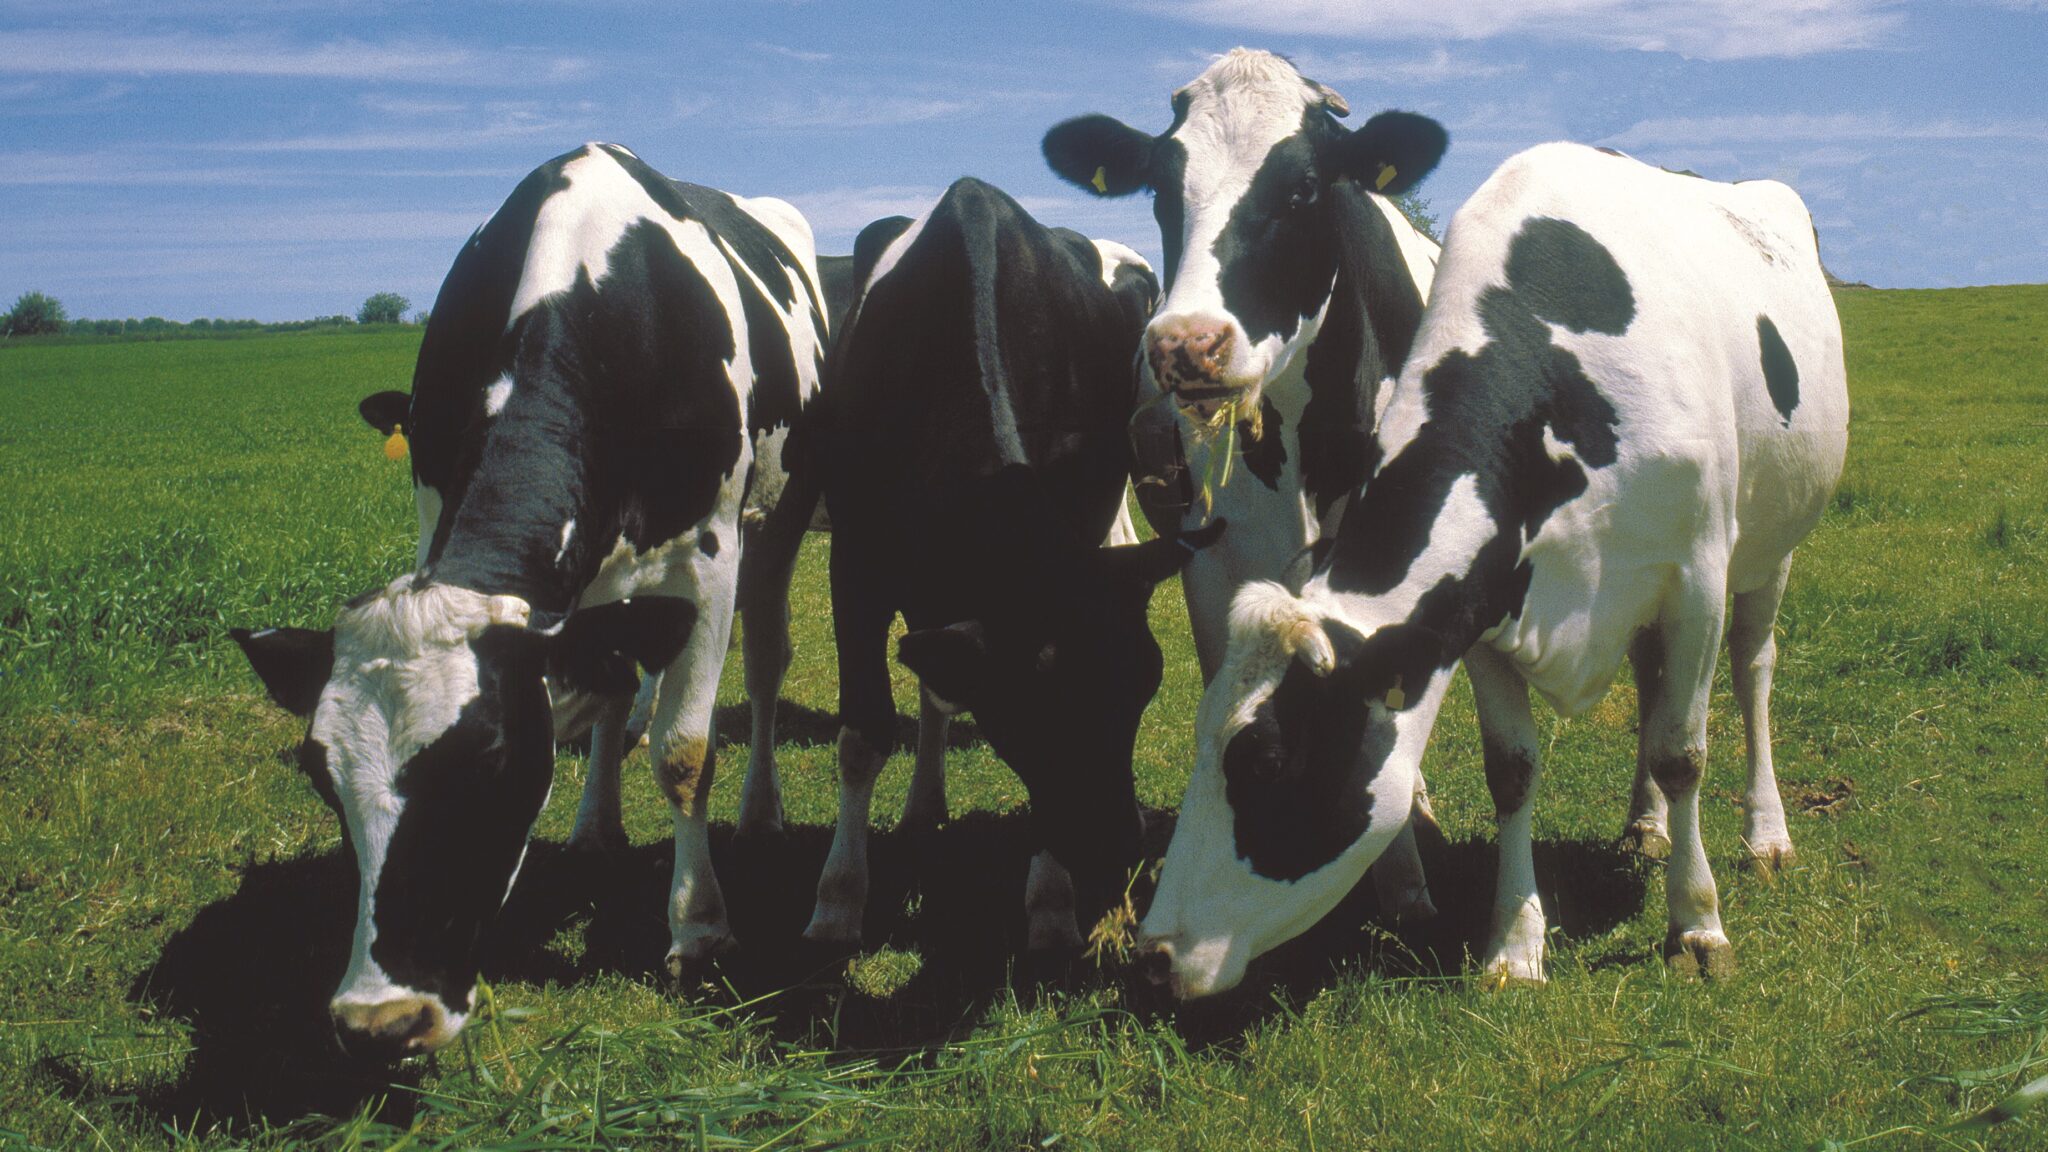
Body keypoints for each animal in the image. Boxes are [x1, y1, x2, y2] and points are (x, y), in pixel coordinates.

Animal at [230, 141, 829, 1058]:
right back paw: (595, 828)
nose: (381, 1020)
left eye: (492, 763)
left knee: (763, 659)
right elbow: (609, 687)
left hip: (782, 513)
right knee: (617, 679)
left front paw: (699, 930)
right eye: (321, 777)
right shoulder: (441, 516)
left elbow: (683, 752)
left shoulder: (710, 553)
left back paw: (761, 809)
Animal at [803, 177, 1220, 951]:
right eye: (1034, 710)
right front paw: (838, 901)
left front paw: (1051, 904)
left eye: (1144, 690)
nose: (1118, 849)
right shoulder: (858, 558)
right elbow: (863, 731)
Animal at [1133, 142, 1848, 998]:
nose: (1156, 952)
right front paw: (1514, 943)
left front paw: (1697, 926)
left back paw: (1764, 833)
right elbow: (1512, 770)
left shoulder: (1697, 578)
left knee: (1752, 670)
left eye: (1265, 759)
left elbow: (1684, 753)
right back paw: (1644, 827)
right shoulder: (1483, 611)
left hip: (1770, 547)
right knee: (1651, 680)